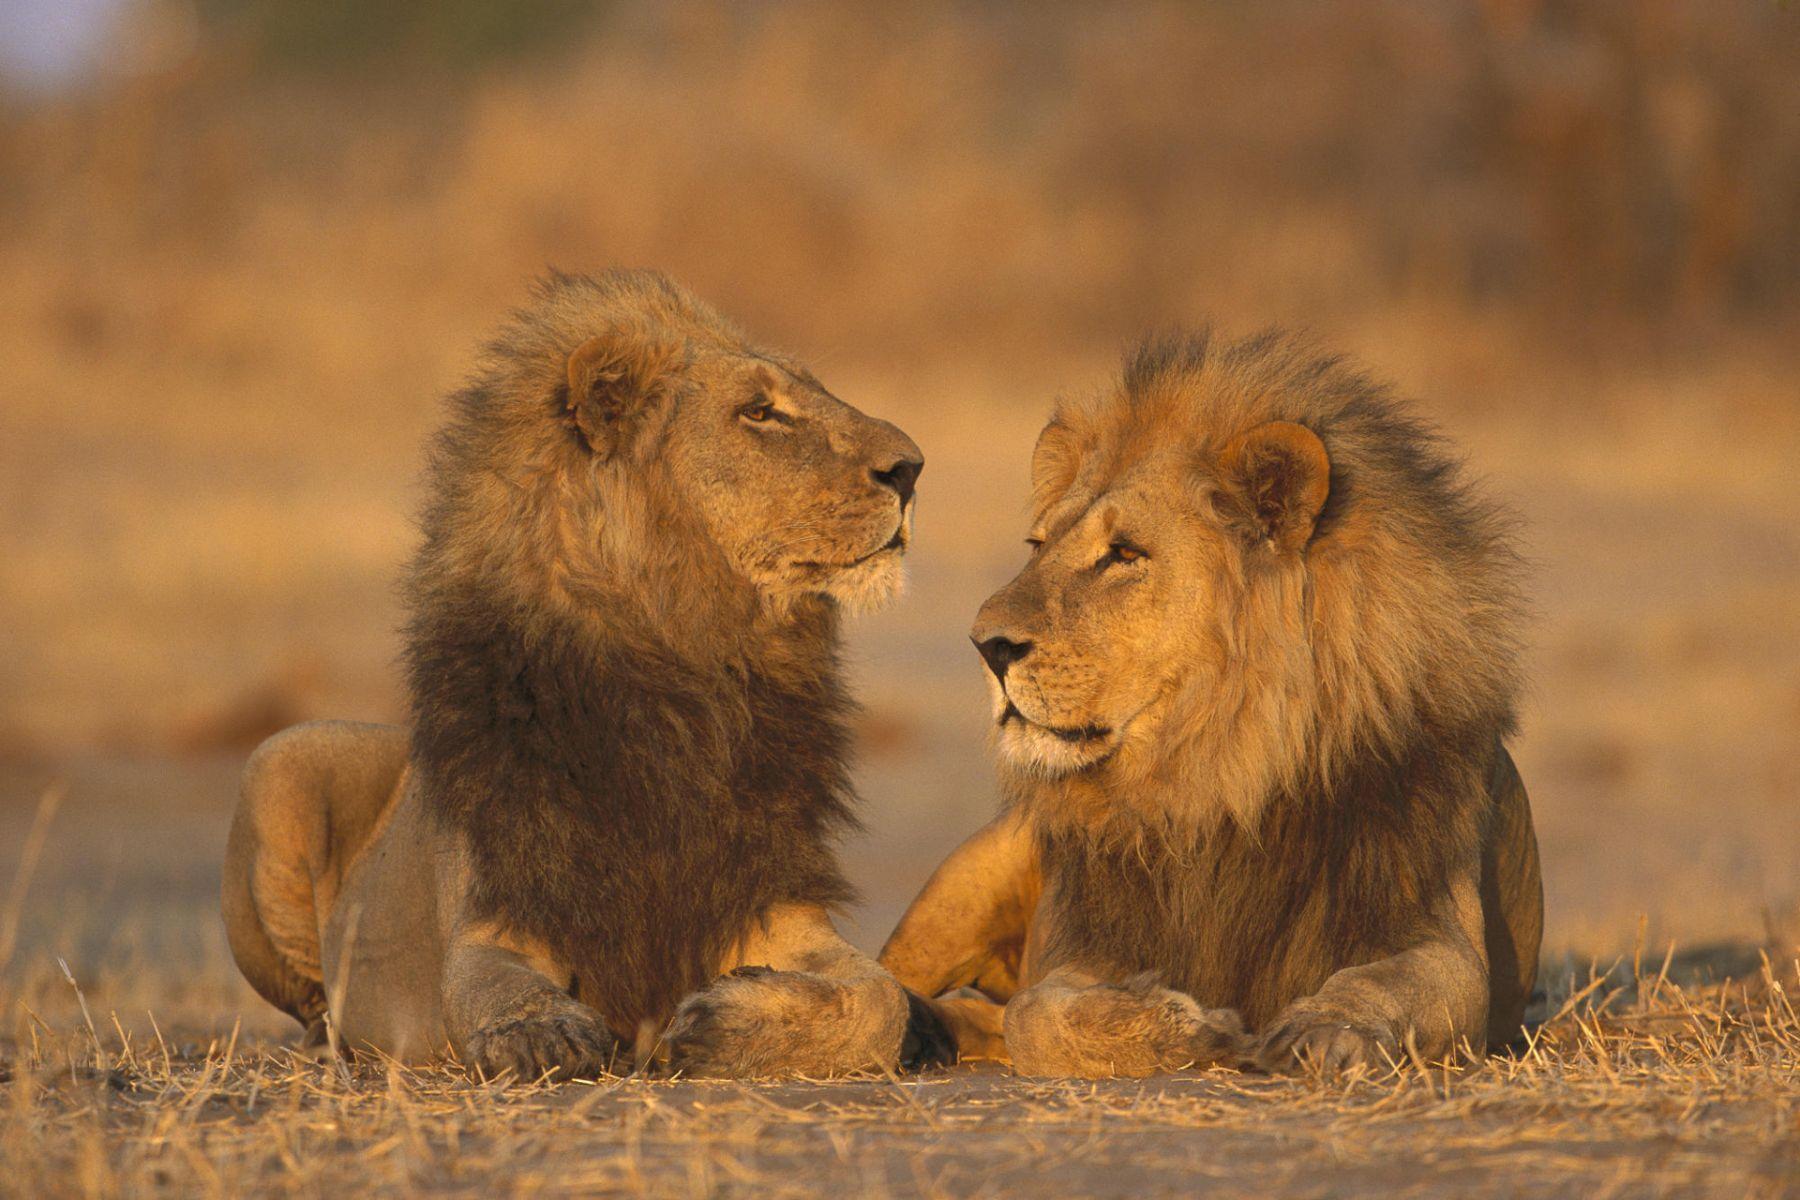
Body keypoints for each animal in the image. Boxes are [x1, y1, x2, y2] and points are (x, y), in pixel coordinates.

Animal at [222, 269, 926, 1080]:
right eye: (759, 412)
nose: (912, 468)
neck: (688, 671)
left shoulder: (776, 907)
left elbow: (883, 1001)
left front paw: (721, 1021)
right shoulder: (498, 913)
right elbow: (490, 988)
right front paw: (542, 1033)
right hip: (282, 755)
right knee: (311, 1000)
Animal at [881, 329, 1541, 1077]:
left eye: (1124, 553)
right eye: (1039, 545)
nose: (985, 645)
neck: (1215, 776)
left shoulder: (1437, 933)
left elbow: (1379, 987)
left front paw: (1323, 1029)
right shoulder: (1082, 947)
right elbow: (1037, 1013)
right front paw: (1191, 1027)